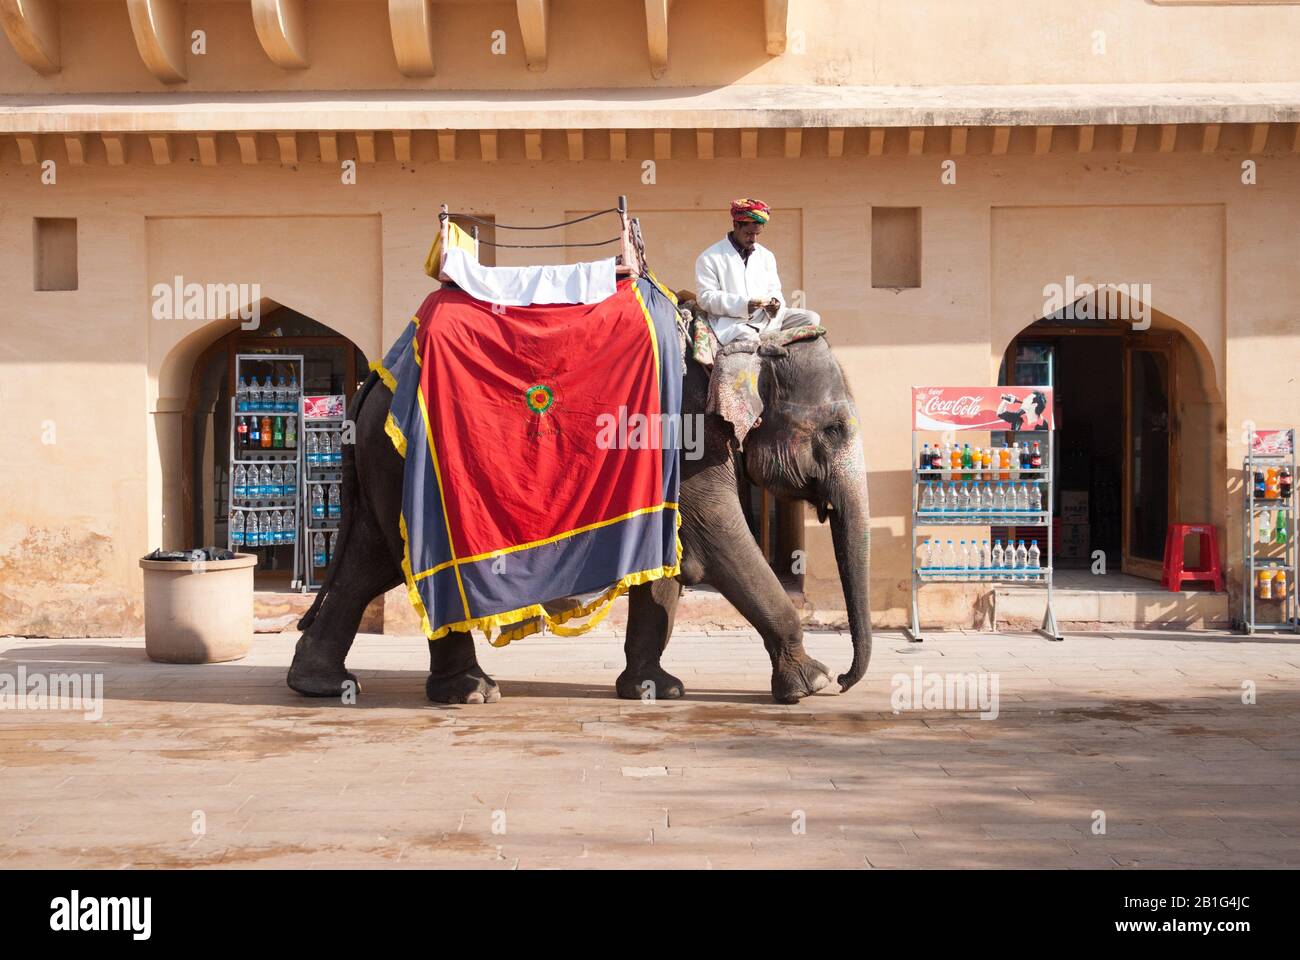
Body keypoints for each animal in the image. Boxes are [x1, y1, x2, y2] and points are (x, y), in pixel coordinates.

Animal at [287, 314, 872, 705]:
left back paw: (321, 686)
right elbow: (721, 543)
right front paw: (813, 685)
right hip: (409, 465)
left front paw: (656, 691)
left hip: (385, 471)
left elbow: (671, 557)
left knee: (369, 561)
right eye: (834, 429)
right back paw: (471, 693)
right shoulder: (687, 442)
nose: (848, 680)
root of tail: (370, 381)